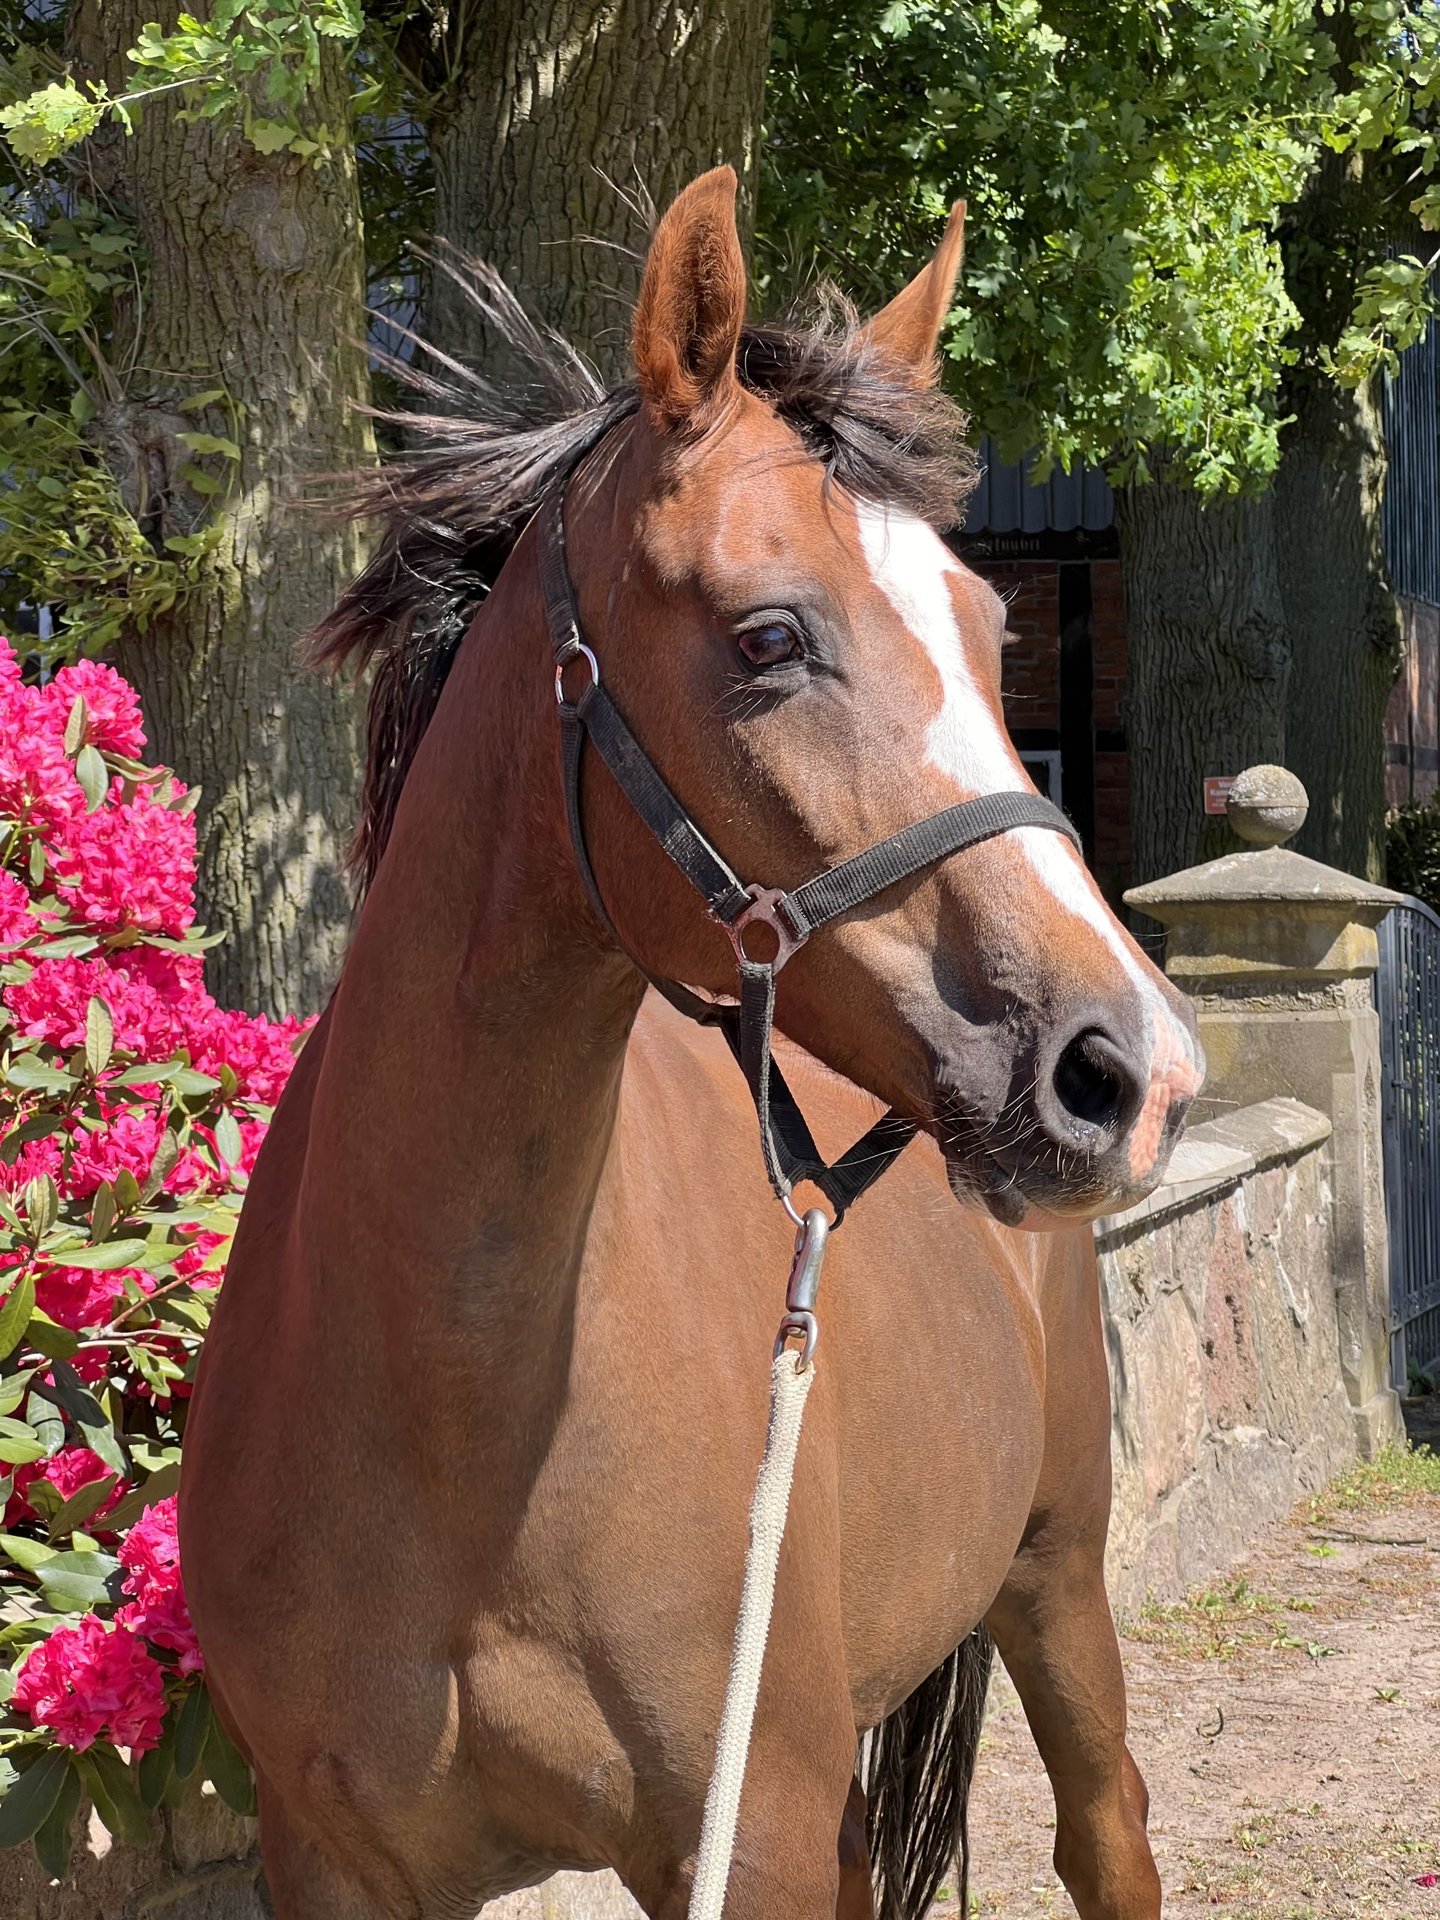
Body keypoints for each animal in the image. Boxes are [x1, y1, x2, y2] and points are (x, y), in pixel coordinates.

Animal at [180, 168, 1202, 1920]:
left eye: (992, 629)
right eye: (770, 638)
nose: (1129, 1069)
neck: (453, 1413)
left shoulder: (746, 1833)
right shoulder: (331, 1861)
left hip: (1058, 1587)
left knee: (1105, 1831)